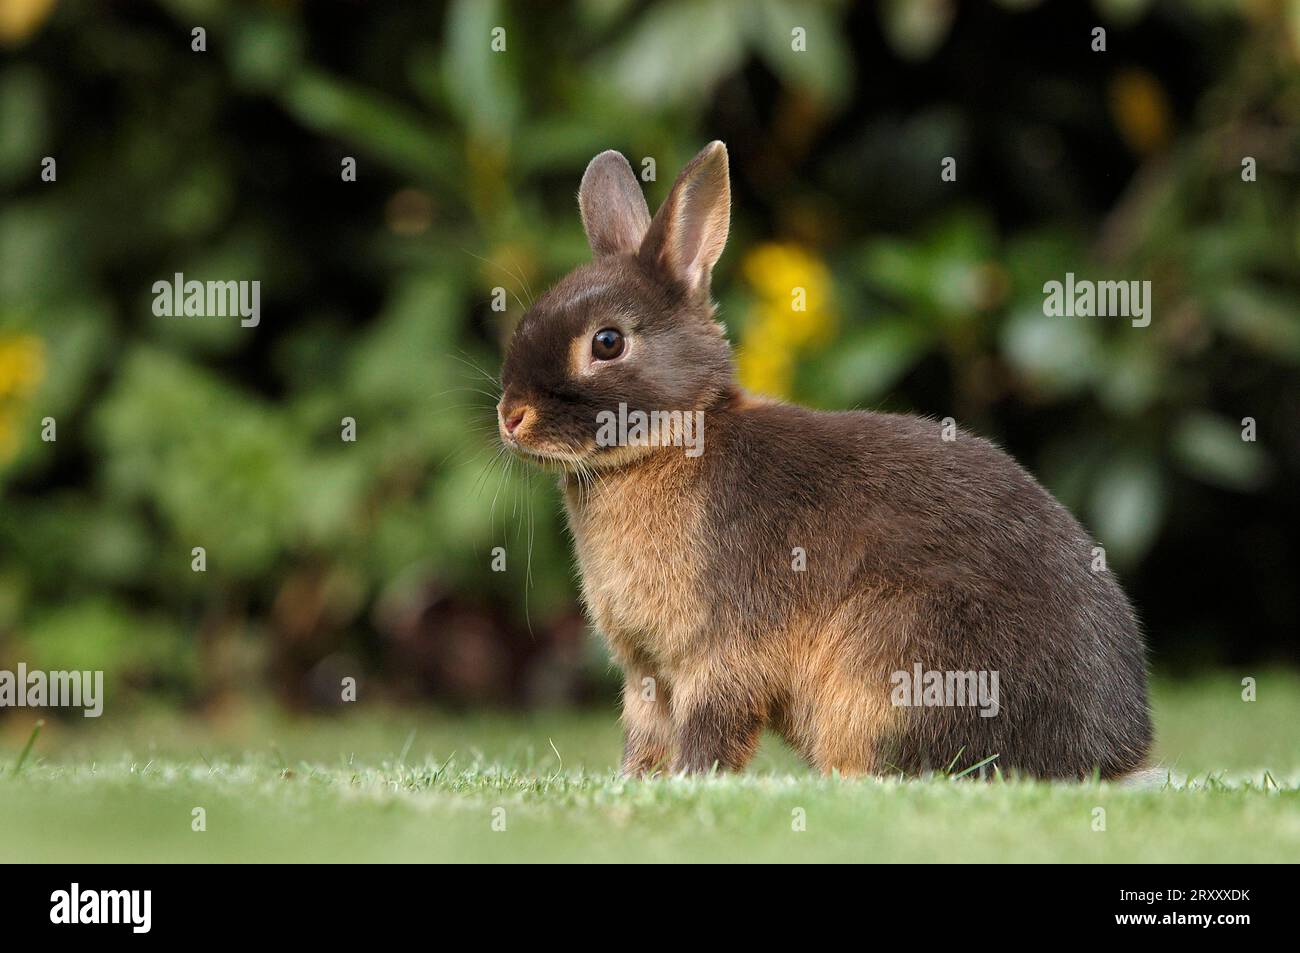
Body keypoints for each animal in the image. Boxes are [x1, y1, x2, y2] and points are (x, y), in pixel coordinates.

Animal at [497, 141, 1152, 780]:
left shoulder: (724, 652)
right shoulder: (647, 673)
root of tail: (1117, 756)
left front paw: (691, 777)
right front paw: (638, 781)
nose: (511, 416)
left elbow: (712, 725)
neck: (673, 440)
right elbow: (644, 737)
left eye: (607, 343)